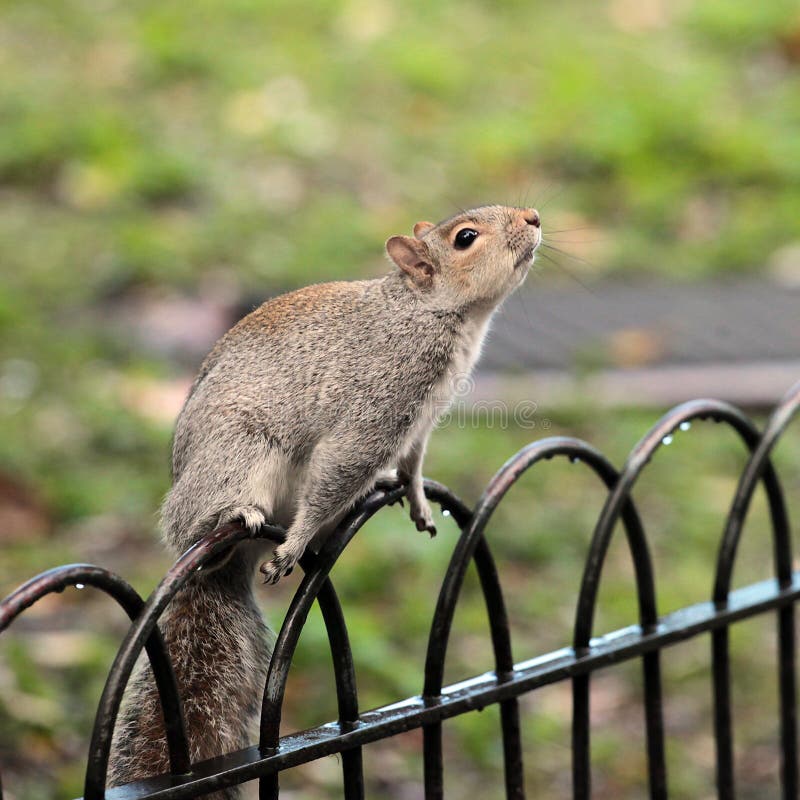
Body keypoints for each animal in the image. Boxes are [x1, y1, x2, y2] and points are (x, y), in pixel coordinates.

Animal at [109, 205, 542, 796]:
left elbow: (413, 464)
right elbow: (343, 464)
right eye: (465, 238)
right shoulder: (378, 405)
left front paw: (414, 497)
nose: (534, 216)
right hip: (239, 450)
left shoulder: (422, 420)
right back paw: (234, 520)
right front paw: (293, 546)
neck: (430, 314)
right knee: (190, 524)